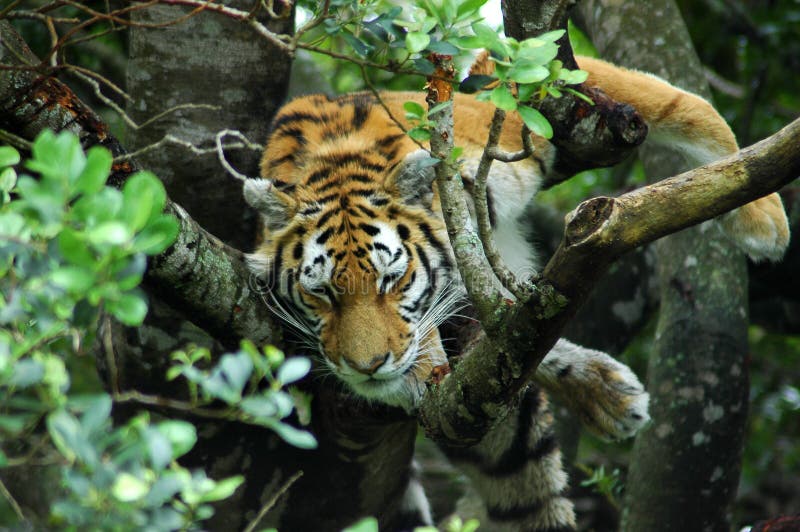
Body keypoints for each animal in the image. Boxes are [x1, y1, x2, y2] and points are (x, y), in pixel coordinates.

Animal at [244, 54, 790, 531]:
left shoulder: (515, 112)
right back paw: (611, 393)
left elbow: (674, 100)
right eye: (321, 294)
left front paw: (762, 218)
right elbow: (513, 339)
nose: (368, 367)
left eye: (392, 279)